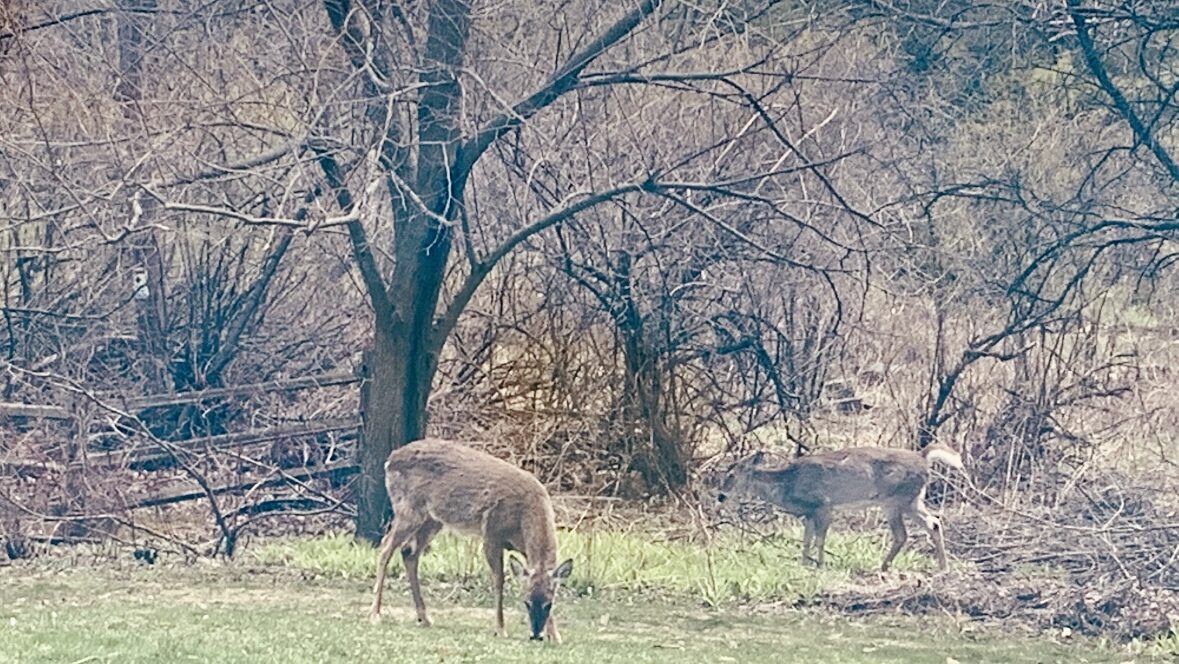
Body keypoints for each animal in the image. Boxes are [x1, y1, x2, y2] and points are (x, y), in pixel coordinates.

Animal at [369, 437, 574, 643]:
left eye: (549, 604)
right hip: (408, 509)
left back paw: (424, 617)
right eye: (527, 603)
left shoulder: (522, 547)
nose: (536, 635)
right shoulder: (491, 533)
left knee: (409, 553)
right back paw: (375, 614)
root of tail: (390, 460)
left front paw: (556, 636)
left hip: (432, 519)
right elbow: (499, 581)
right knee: (386, 547)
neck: (524, 514)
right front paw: (500, 629)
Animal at [716, 443, 965, 572]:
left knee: (905, 533)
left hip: (897, 500)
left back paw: (887, 566)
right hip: (909, 500)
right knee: (932, 523)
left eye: (731, 475)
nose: (720, 496)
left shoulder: (824, 505)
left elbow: (820, 539)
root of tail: (924, 458)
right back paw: (941, 567)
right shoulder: (809, 513)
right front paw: (804, 563)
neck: (788, 482)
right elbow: (806, 539)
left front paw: (820, 565)